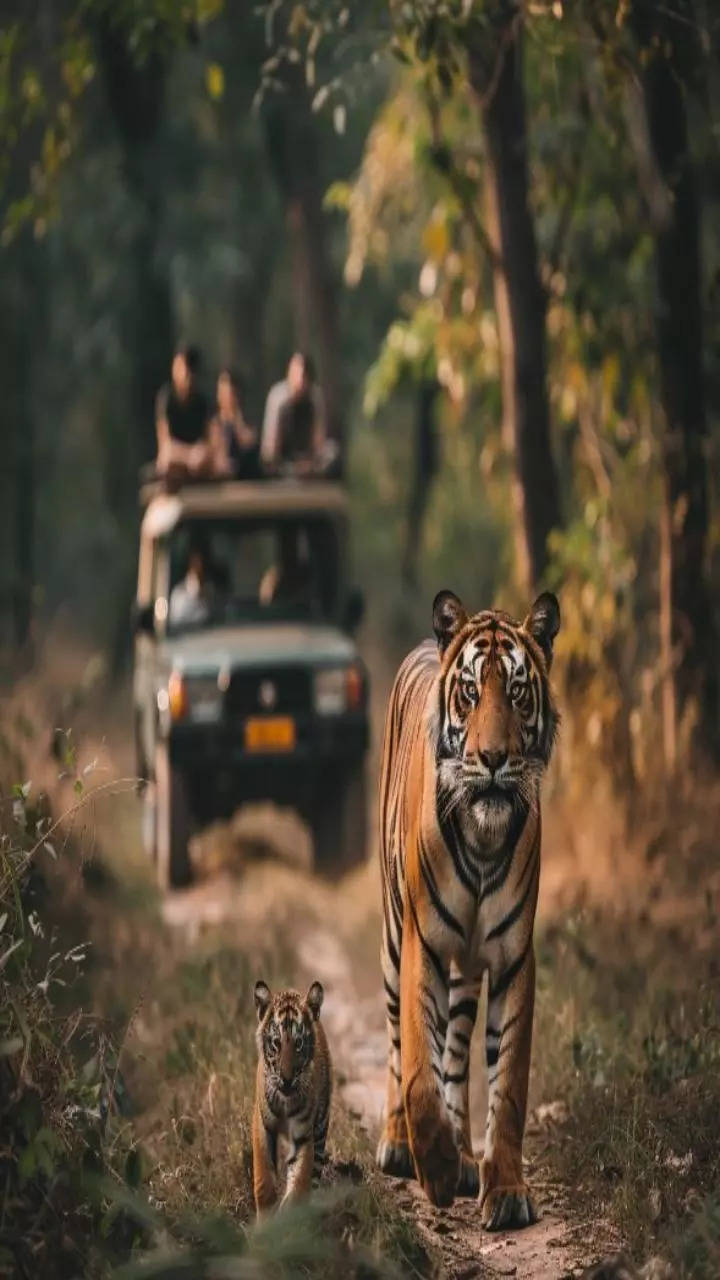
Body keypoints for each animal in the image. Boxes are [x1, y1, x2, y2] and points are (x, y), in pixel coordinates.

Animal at [252, 979, 332, 1215]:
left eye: (298, 1043)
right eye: (276, 1043)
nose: (286, 1079)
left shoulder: (304, 1134)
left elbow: (299, 1183)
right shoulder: (262, 1124)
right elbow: (264, 1180)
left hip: (321, 1127)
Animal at [376, 589, 560, 1230]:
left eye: (518, 692)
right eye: (472, 692)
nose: (493, 757)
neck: (483, 839)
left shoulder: (512, 958)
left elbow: (507, 1085)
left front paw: (503, 1190)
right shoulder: (422, 945)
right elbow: (417, 1073)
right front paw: (430, 1163)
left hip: (466, 965)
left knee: (454, 1049)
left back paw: (459, 1152)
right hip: (392, 941)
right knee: (398, 1045)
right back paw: (399, 1145)